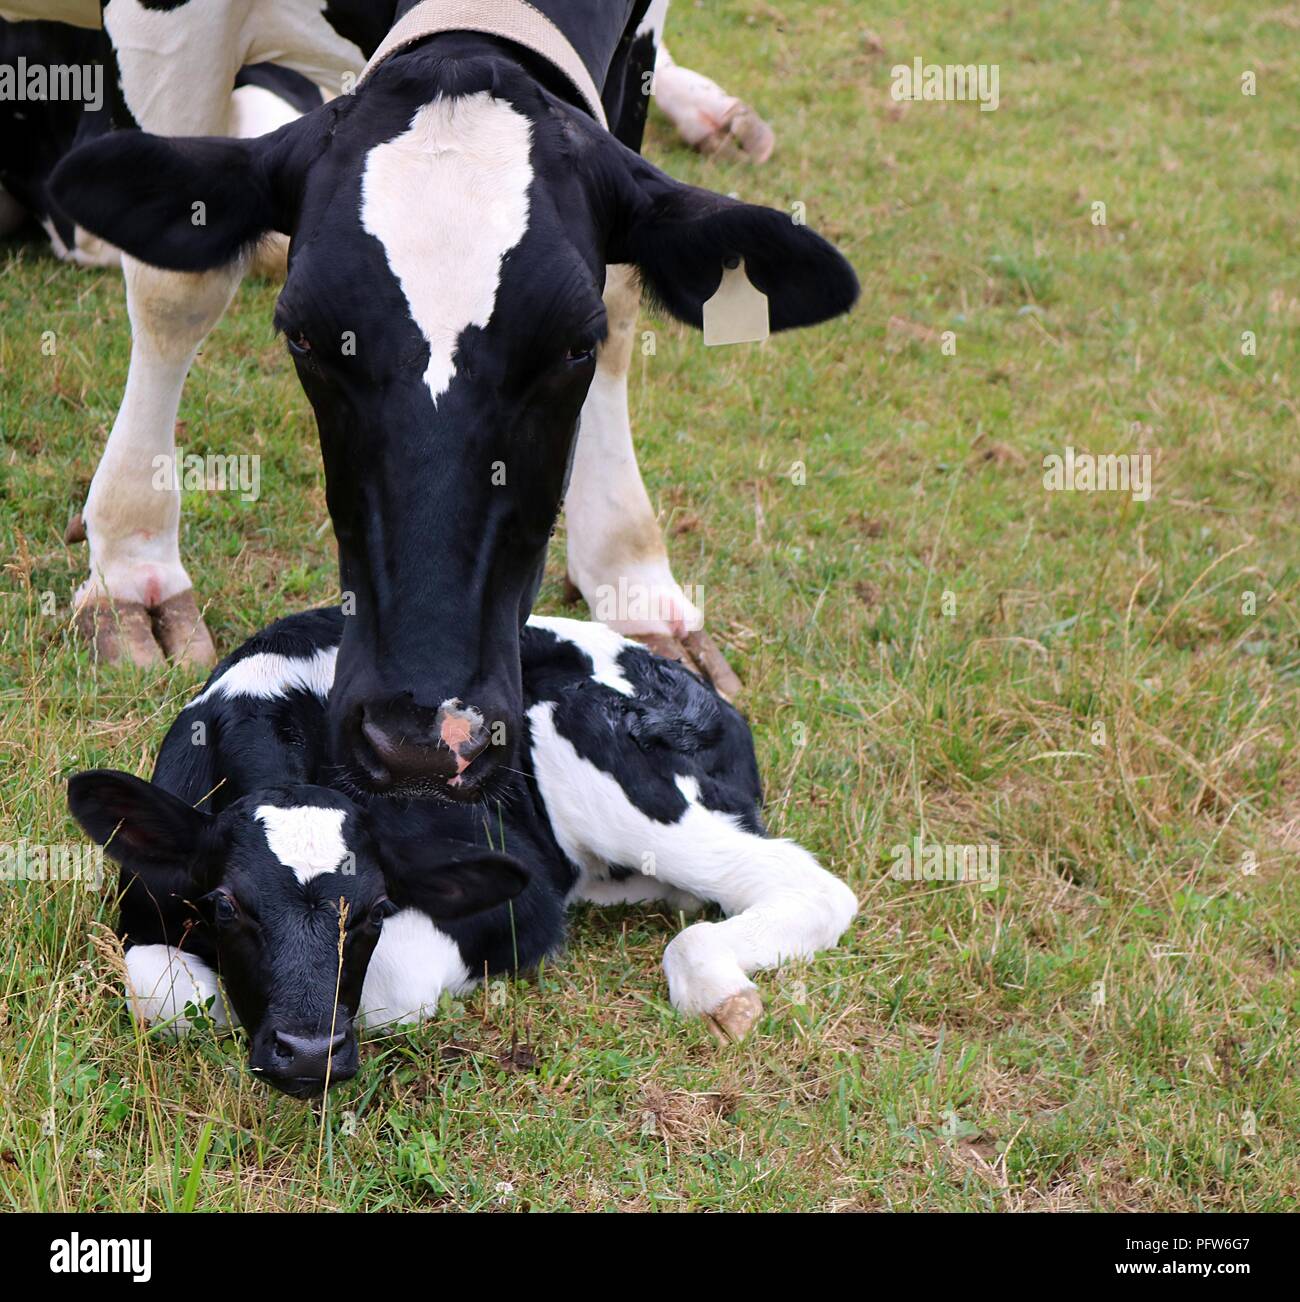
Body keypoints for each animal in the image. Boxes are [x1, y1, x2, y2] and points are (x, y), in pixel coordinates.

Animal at [48, 0, 859, 804]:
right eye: (305, 337)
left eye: (575, 347)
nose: (420, 742)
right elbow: (176, 288)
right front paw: (133, 569)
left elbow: (629, 296)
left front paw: (634, 580)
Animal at [68, 607, 858, 1097]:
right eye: (227, 904)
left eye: (378, 907)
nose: (310, 1052)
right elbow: (165, 992)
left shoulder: (517, 902)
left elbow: (395, 984)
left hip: (600, 753)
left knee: (804, 889)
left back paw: (722, 990)